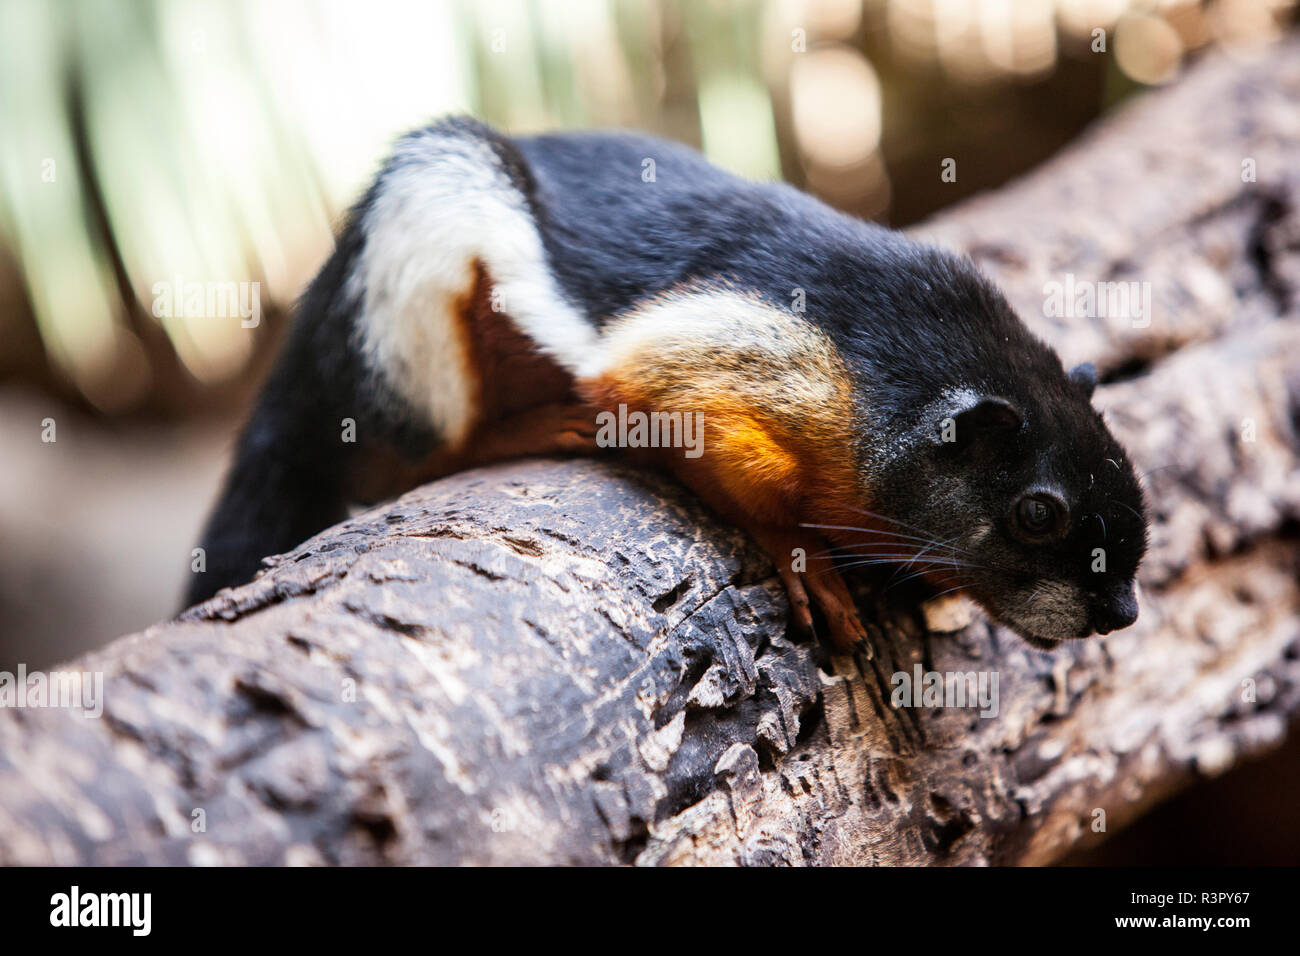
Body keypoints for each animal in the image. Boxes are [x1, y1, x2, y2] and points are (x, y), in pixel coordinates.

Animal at [187, 116, 1148, 652]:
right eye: (1037, 515)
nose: (1121, 614)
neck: (914, 370)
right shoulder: (768, 357)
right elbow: (673, 405)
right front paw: (803, 557)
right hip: (421, 252)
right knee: (407, 459)